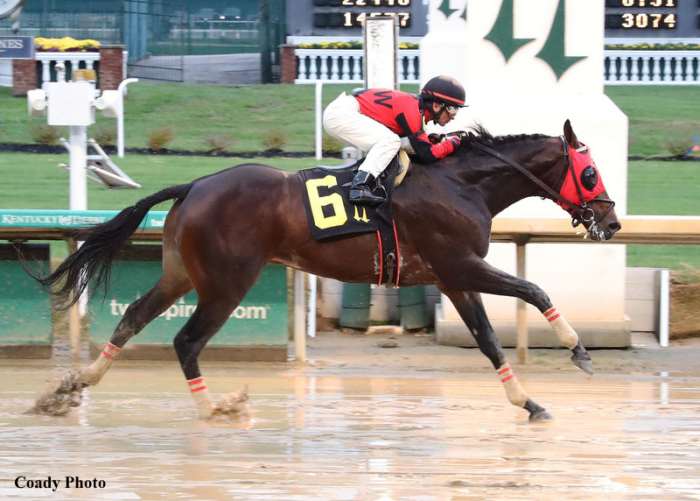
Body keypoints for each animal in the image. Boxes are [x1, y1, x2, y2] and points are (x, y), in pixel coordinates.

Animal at [31, 120, 620, 422]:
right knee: (186, 340)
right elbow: (534, 288)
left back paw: (74, 385)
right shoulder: (462, 264)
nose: (612, 221)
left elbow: (489, 341)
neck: (461, 183)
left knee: (133, 315)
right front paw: (579, 350)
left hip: (181, 273)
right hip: (226, 283)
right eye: (590, 171)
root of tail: (195, 184)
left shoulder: (452, 278)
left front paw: (529, 401)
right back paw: (215, 406)